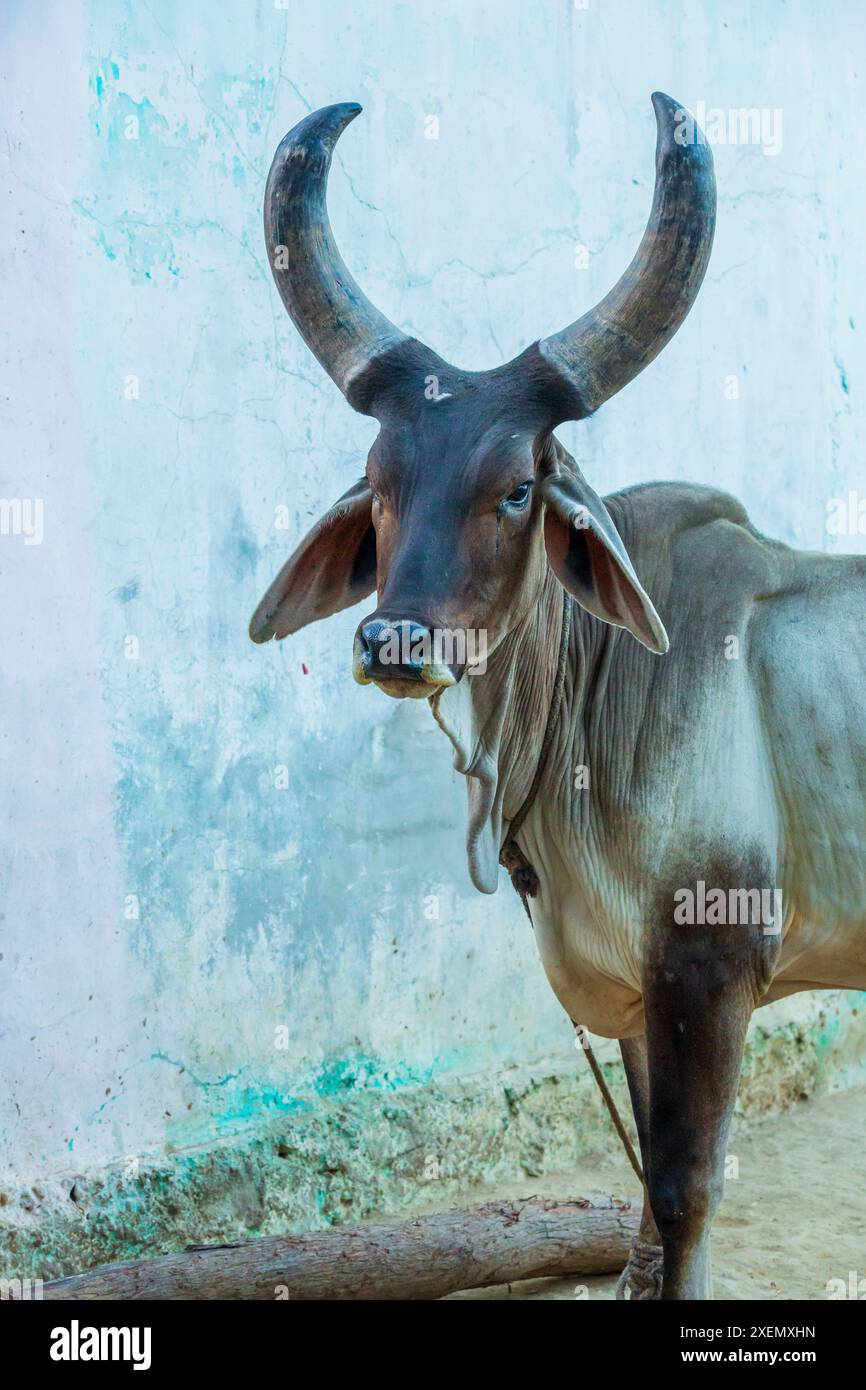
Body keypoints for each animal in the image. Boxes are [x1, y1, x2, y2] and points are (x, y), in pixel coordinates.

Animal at [249, 94, 866, 1300]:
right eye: (379, 485)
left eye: (515, 489)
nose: (396, 641)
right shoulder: (633, 999)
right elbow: (644, 1222)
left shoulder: (707, 971)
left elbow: (680, 1199)